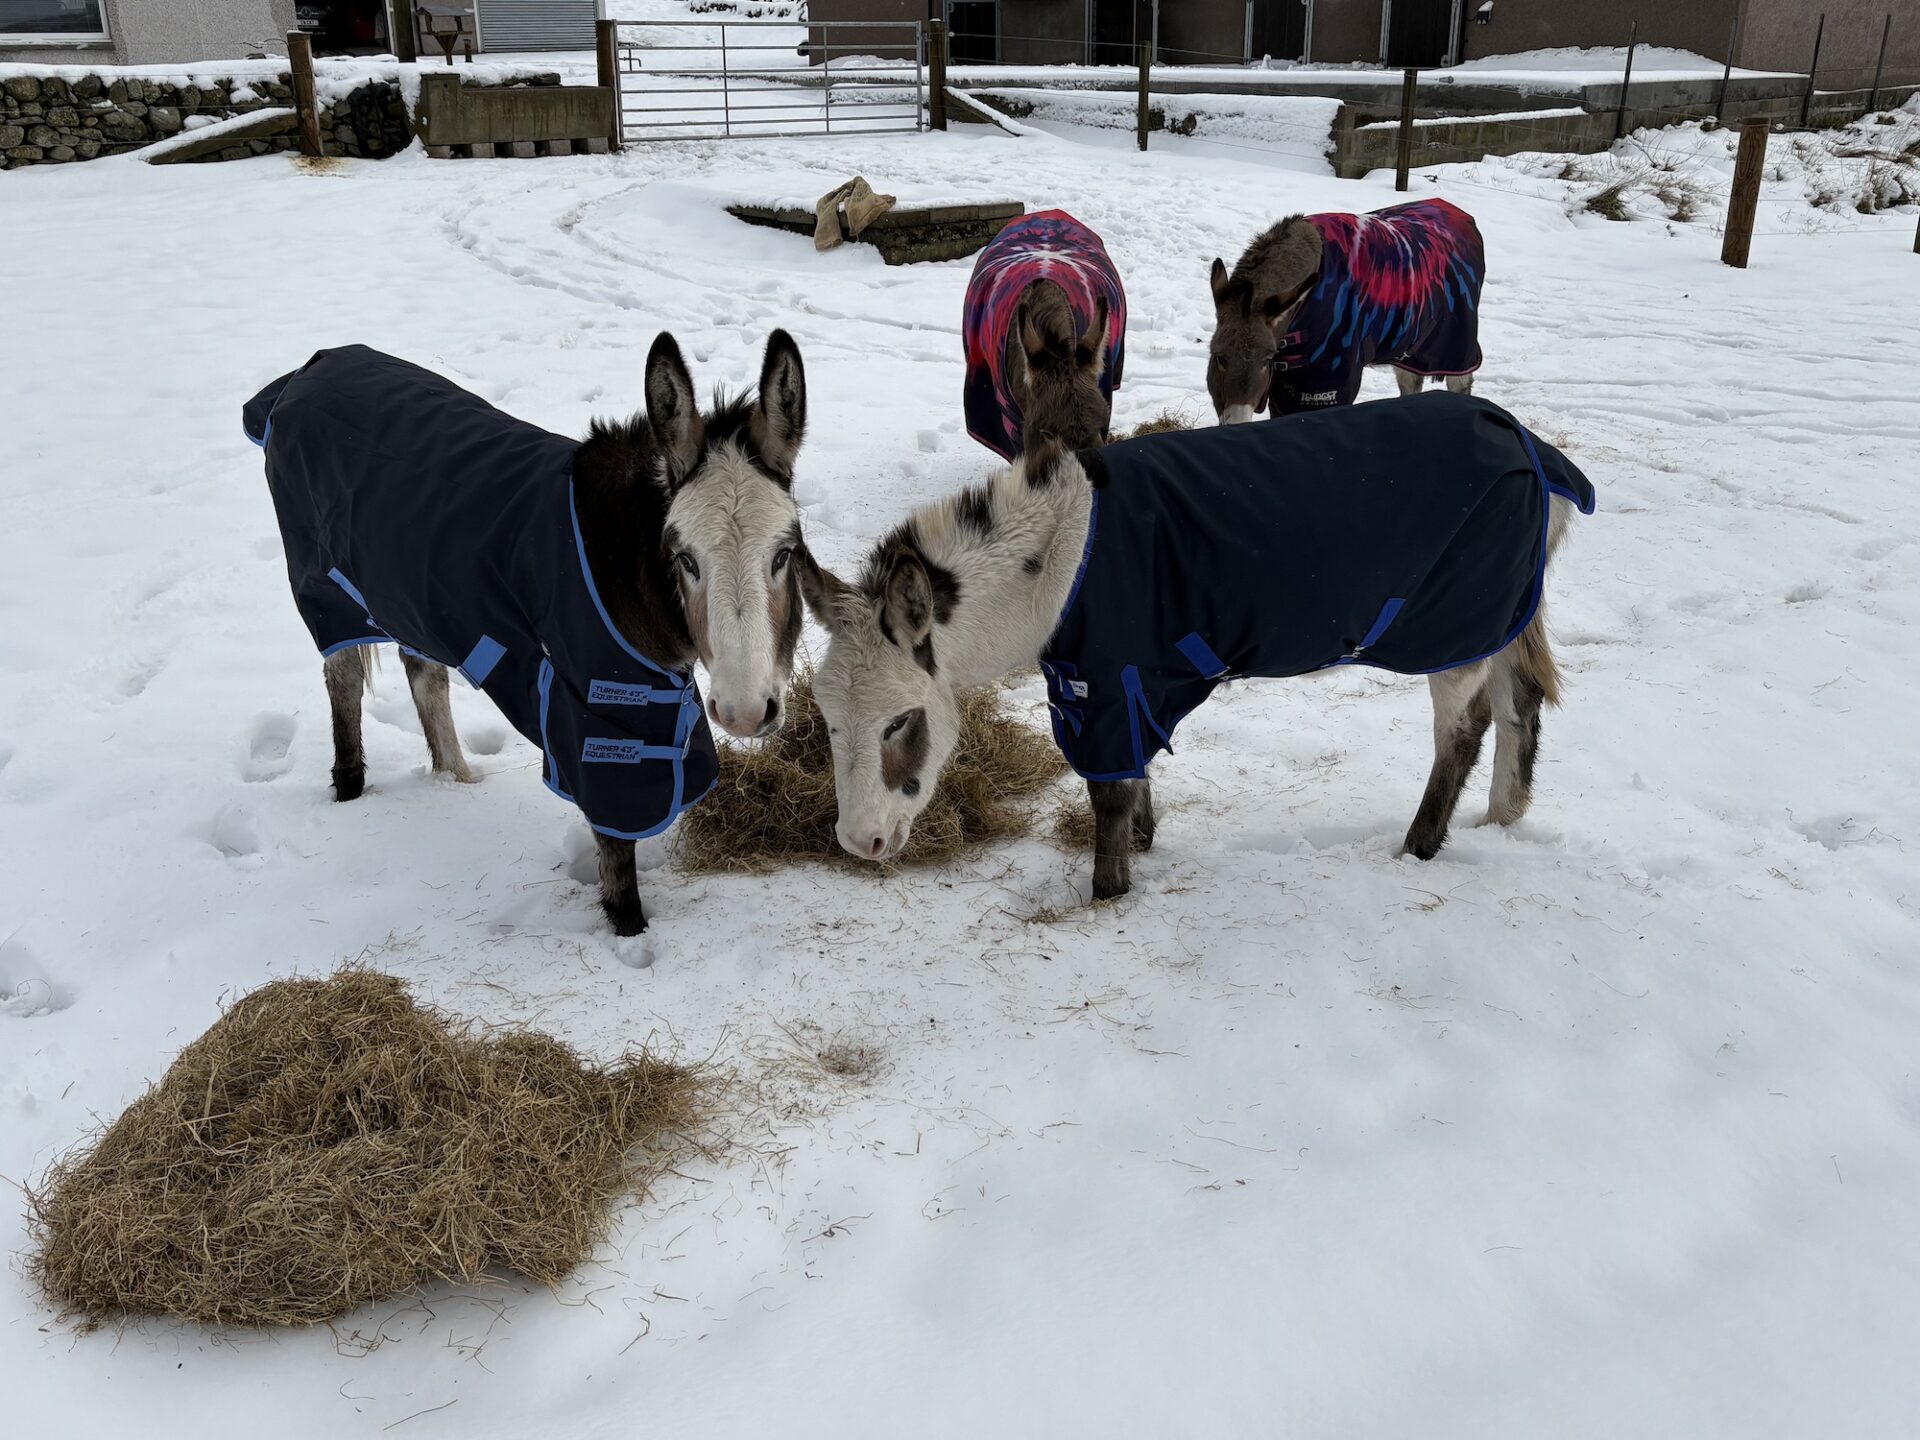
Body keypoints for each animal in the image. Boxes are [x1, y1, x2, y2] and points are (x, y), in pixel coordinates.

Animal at [244, 330, 811, 935]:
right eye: (685, 559)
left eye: (784, 553)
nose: (744, 713)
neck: (614, 562)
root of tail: (315, 366)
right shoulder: (596, 717)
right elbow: (617, 848)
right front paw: (628, 930)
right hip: (324, 581)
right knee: (345, 676)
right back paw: (350, 786)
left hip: (409, 590)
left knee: (423, 673)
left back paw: (458, 780)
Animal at [796, 393, 1593, 901]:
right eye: (825, 722)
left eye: (900, 722)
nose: (859, 842)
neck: (1058, 560)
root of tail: (1536, 453)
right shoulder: (1116, 683)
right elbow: (1133, 775)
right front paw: (1145, 844)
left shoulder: (1108, 676)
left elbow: (1110, 790)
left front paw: (1110, 894)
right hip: (1501, 616)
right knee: (1519, 706)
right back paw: (1500, 823)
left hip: (1459, 631)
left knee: (1463, 730)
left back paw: (1420, 846)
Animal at [1207, 198, 1485, 423]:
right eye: (1219, 357)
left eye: (1266, 360)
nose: (1236, 422)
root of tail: (1462, 215)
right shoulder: (1288, 384)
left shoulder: (1331, 378)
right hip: (1410, 348)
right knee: (1411, 384)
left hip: (1455, 346)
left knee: (1461, 384)